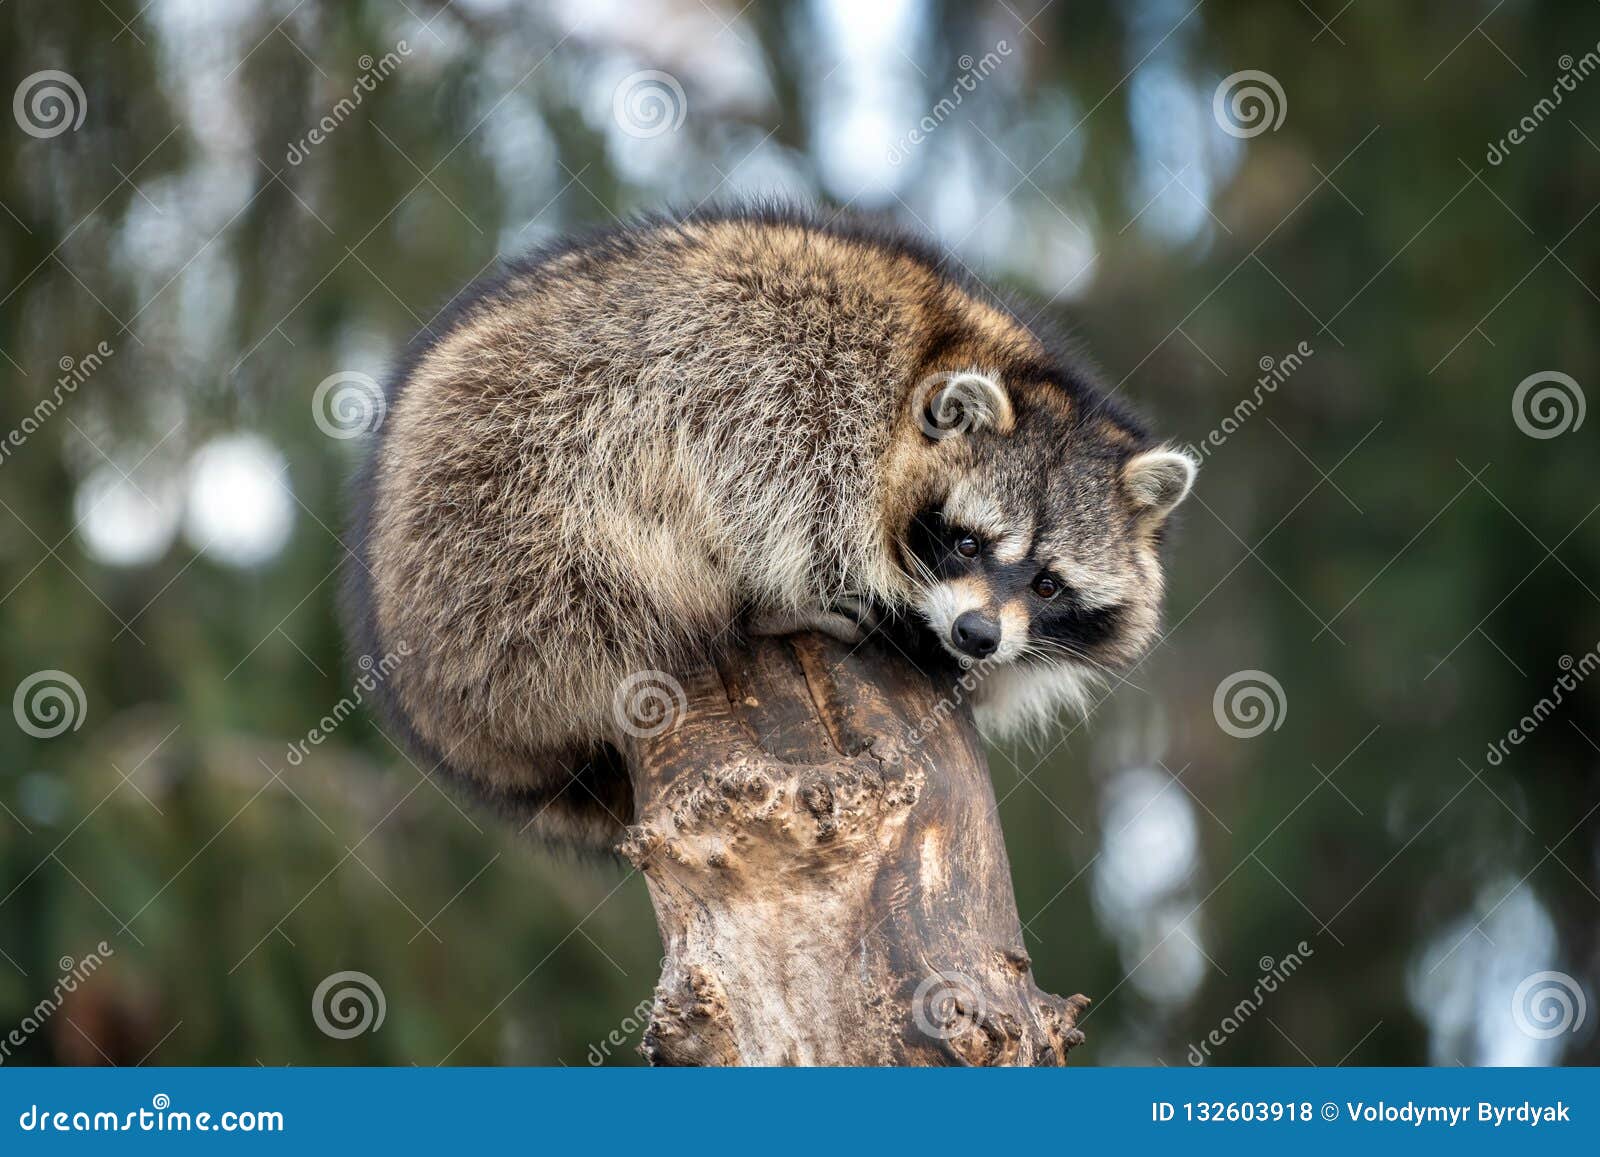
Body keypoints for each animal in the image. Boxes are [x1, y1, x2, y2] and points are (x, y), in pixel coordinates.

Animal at [343, 205, 1195, 851]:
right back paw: (746, 613)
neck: (942, 354)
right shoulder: (805, 397)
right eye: (966, 542)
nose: (977, 635)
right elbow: (777, 491)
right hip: (513, 516)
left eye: (1048, 583)